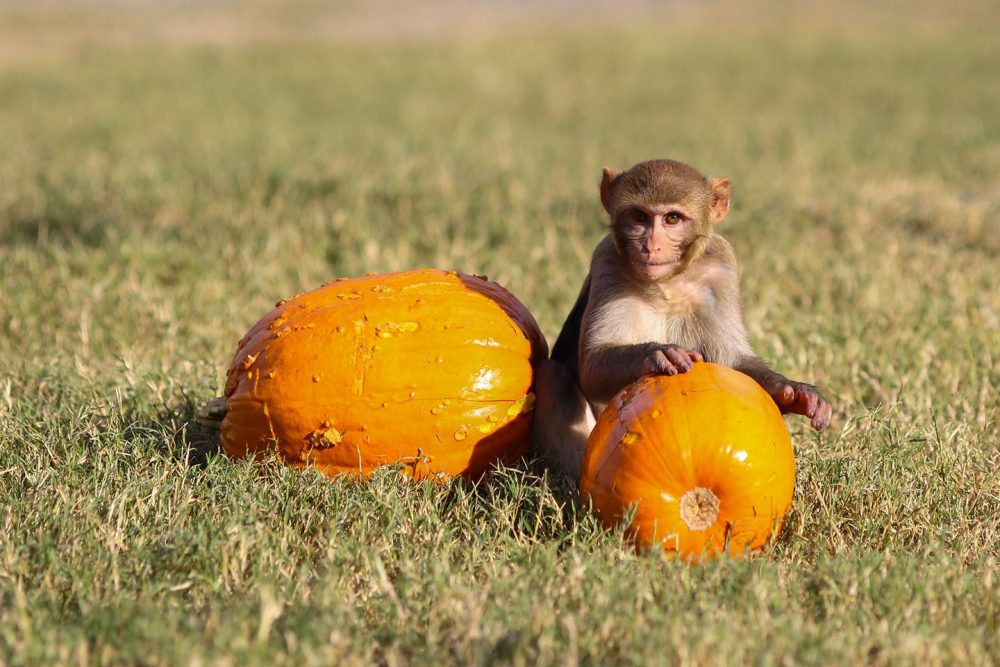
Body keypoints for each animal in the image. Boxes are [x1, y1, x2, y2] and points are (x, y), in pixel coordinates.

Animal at [532, 158, 832, 481]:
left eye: (672, 219)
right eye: (639, 217)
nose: (650, 245)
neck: (668, 282)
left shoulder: (722, 268)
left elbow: (733, 361)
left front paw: (793, 392)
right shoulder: (607, 261)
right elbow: (591, 365)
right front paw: (656, 353)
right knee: (552, 374)